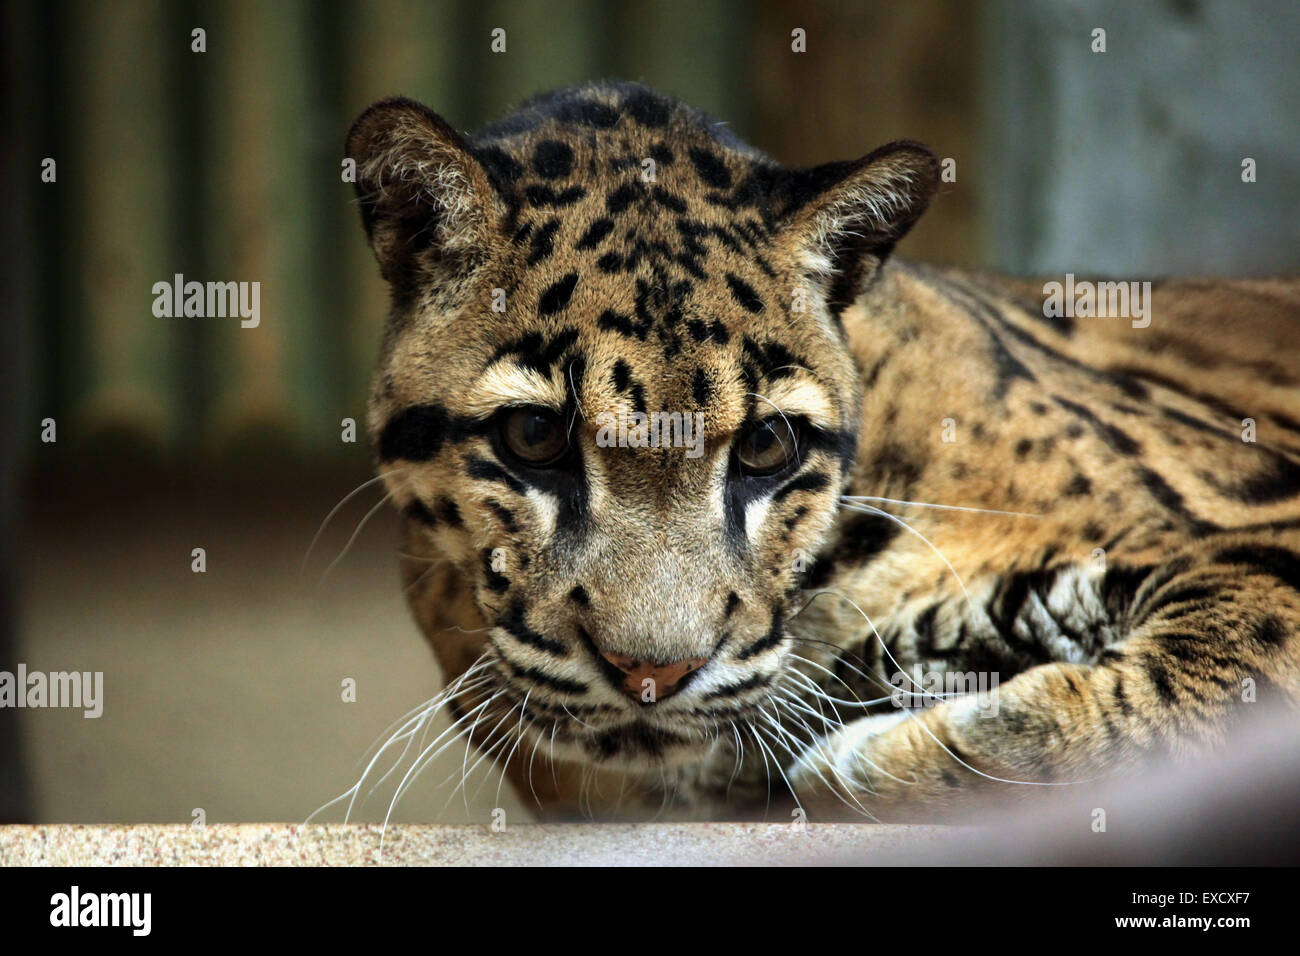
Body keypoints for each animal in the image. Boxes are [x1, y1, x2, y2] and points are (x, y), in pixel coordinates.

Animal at [343, 81, 1300, 822]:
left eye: (767, 445)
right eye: (534, 437)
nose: (654, 673)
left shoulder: (1253, 526)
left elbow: (1208, 676)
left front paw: (872, 764)